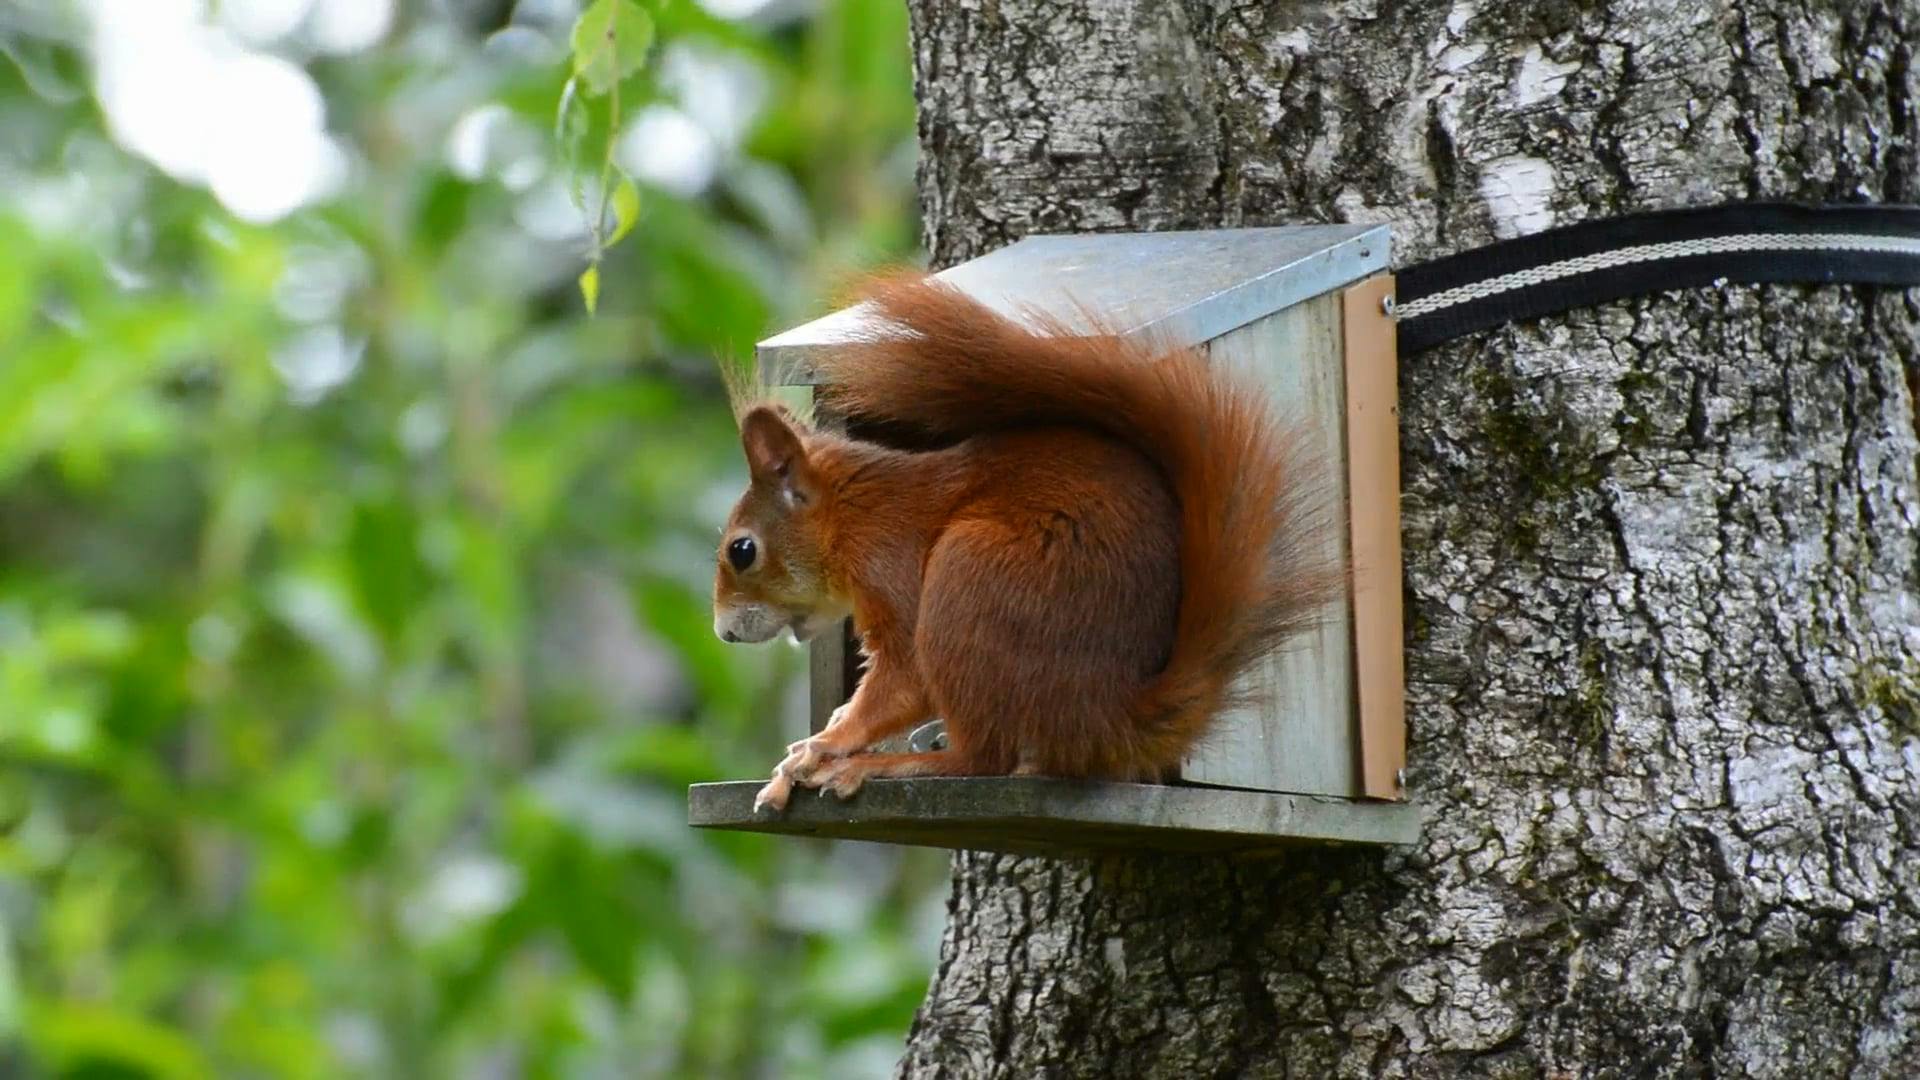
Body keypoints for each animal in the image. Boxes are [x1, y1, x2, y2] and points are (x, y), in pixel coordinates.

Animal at [711, 272, 1344, 813]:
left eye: (742, 550)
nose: (722, 633)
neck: (852, 516)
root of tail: (1109, 718)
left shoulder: (890, 564)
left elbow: (905, 679)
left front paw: (824, 744)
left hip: (970, 575)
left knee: (982, 757)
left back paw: (881, 766)